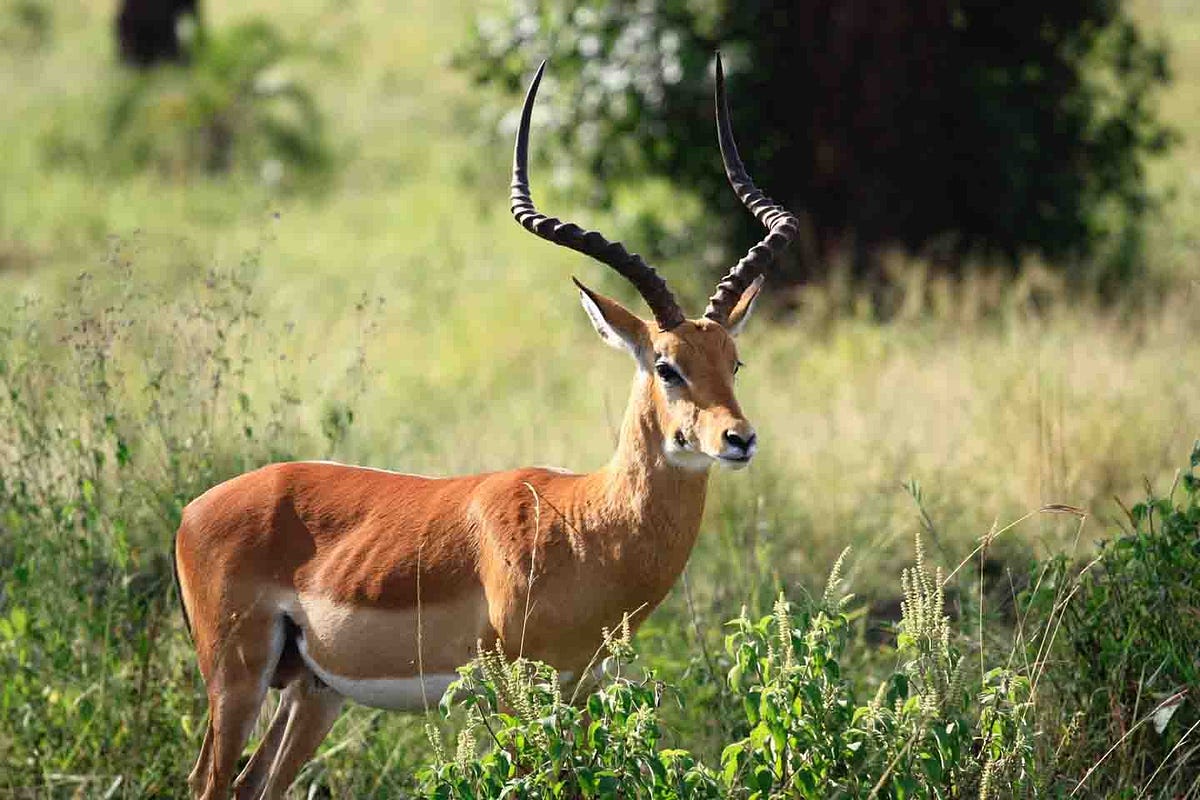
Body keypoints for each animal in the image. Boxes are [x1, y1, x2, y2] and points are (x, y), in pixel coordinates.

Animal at [175, 55, 798, 800]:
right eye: (668, 367)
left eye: (734, 361)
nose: (739, 438)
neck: (584, 521)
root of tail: (195, 508)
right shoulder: (515, 691)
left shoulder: (579, 688)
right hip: (236, 680)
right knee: (210, 781)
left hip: (313, 692)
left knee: (254, 783)